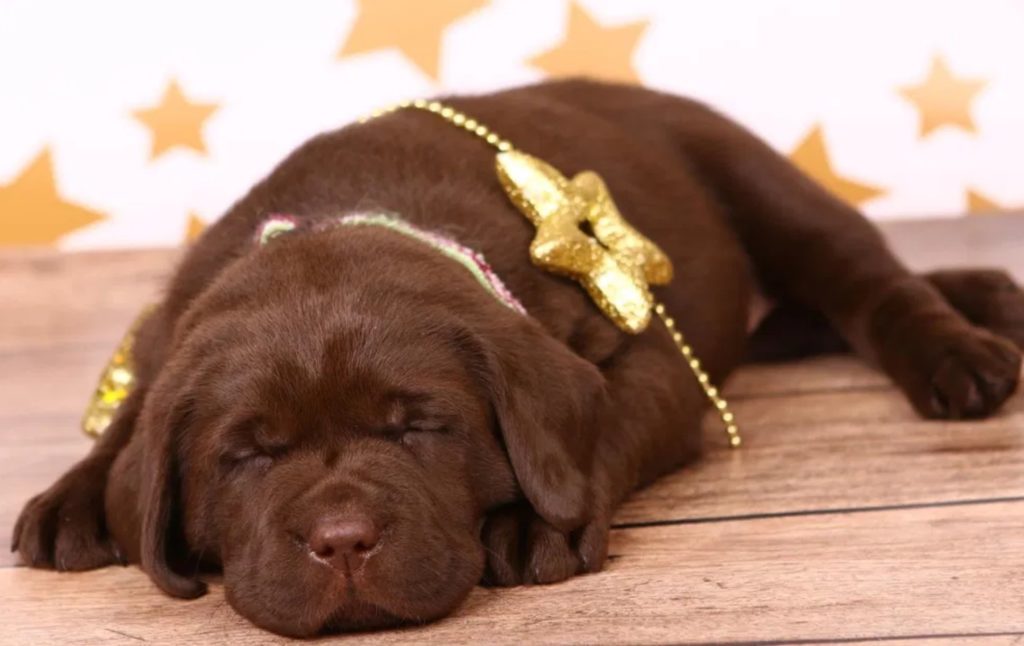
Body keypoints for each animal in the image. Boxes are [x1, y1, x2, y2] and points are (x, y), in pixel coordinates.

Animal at [9, 79, 1024, 638]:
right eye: (249, 455)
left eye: (420, 428)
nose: (342, 542)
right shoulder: (168, 343)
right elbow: (133, 419)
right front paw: (75, 495)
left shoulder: (650, 359)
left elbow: (600, 428)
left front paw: (534, 521)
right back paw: (988, 291)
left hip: (763, 180)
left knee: (868, 280)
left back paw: (963, 345)